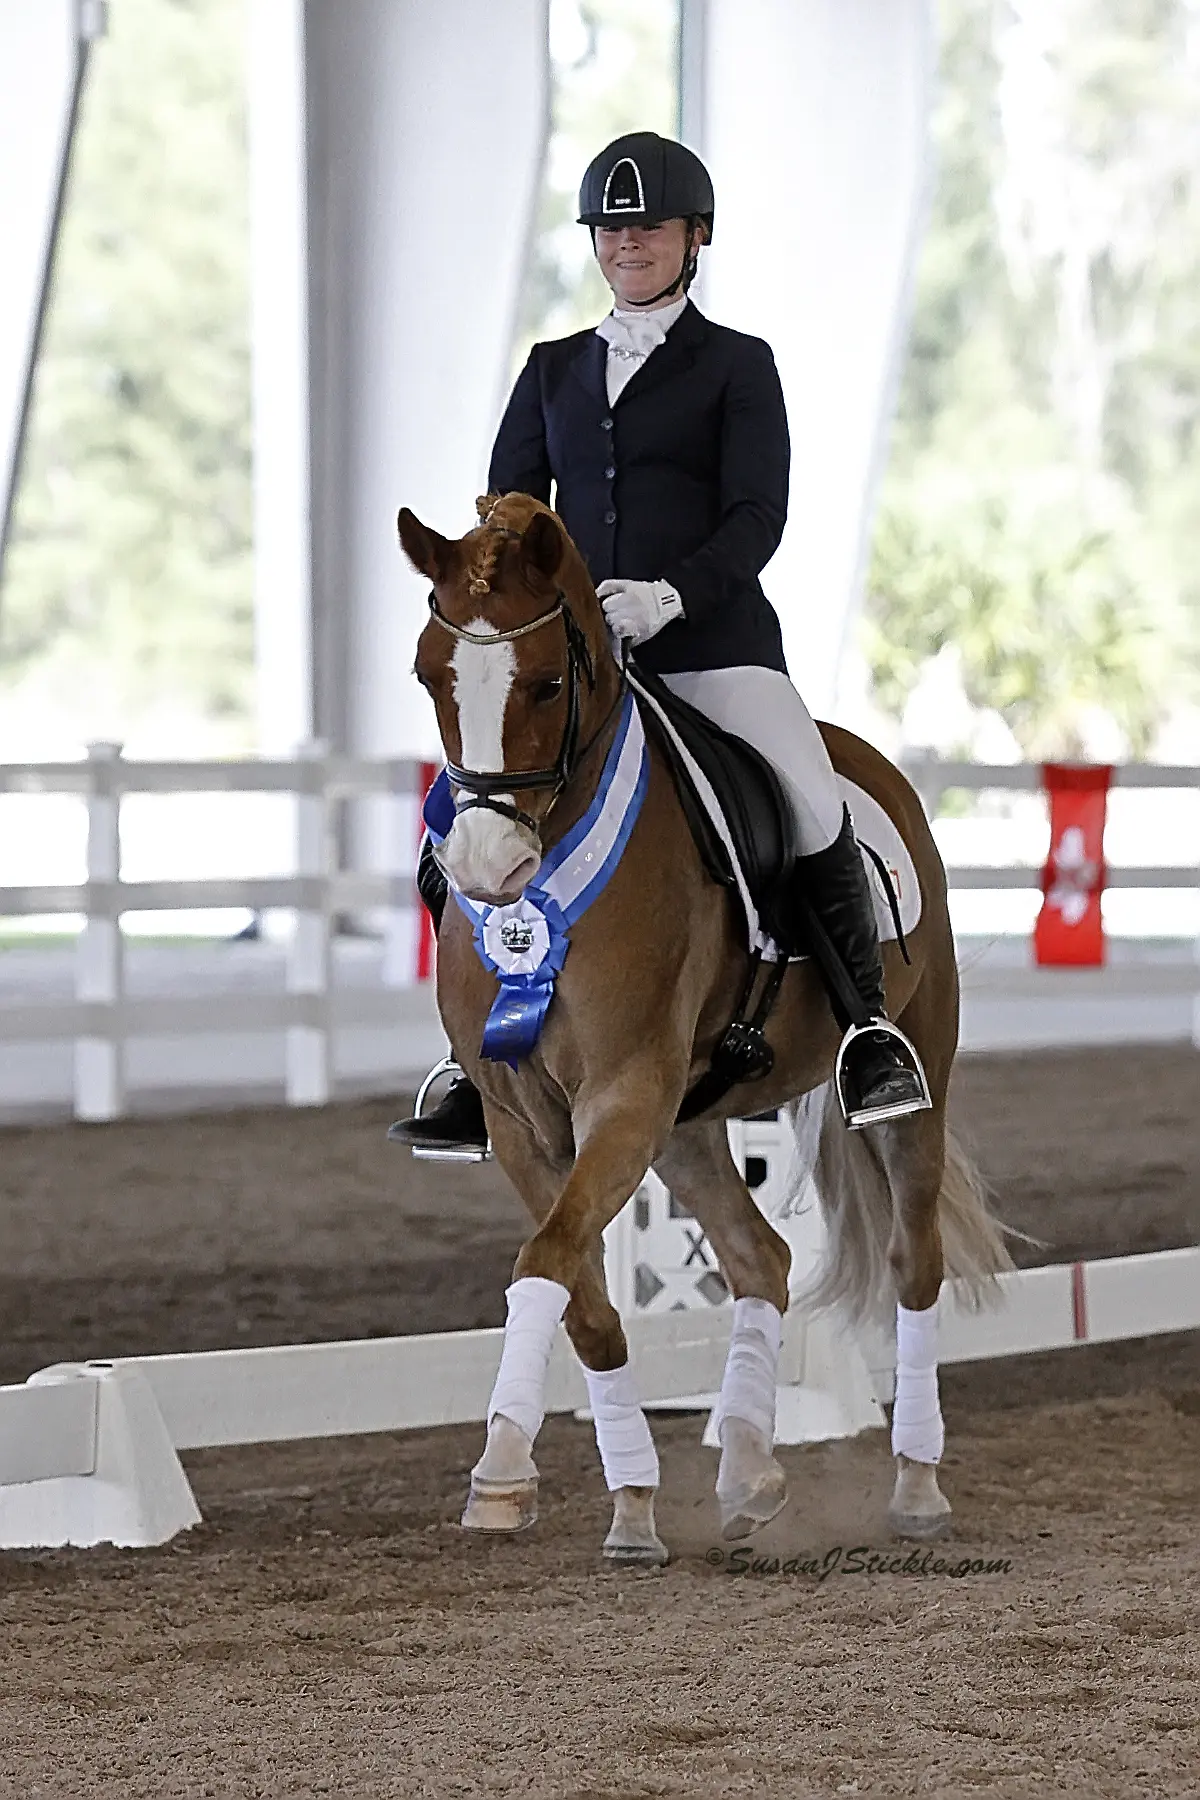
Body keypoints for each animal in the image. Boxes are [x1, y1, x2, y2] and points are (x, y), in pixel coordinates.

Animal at [399, 488, 1010, 1565]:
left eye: (547, 683)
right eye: (432, 675)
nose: (484, 863)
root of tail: (866, 757)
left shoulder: (623, 1098)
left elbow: (545, 1262)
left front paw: (502, 1468)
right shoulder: (527, 1125)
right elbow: (582, 1297)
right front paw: (632, 1504)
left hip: (910, 1083)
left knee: (914, 1262)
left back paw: (916, 1487)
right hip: (687, 1126)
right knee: (759, 1257)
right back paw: (749, 1471)